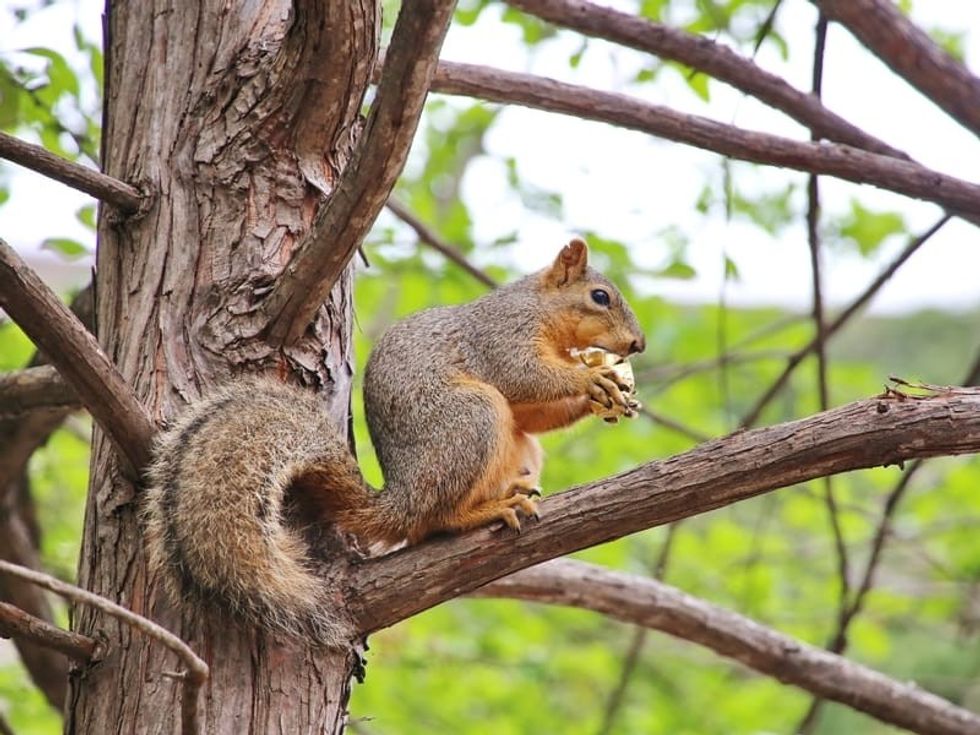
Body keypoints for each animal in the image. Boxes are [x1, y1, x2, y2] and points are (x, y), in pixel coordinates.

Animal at [142, 239, 645, 645]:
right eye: (600, 297)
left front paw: (605, 394)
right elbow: (522, 376)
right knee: (436, 521)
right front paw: (591, 378)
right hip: (472, 418)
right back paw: (483, 511)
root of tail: (403, 498)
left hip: (515, 447)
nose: (637, 344)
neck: (541, 310)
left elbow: (533, 413)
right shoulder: (501, 337)